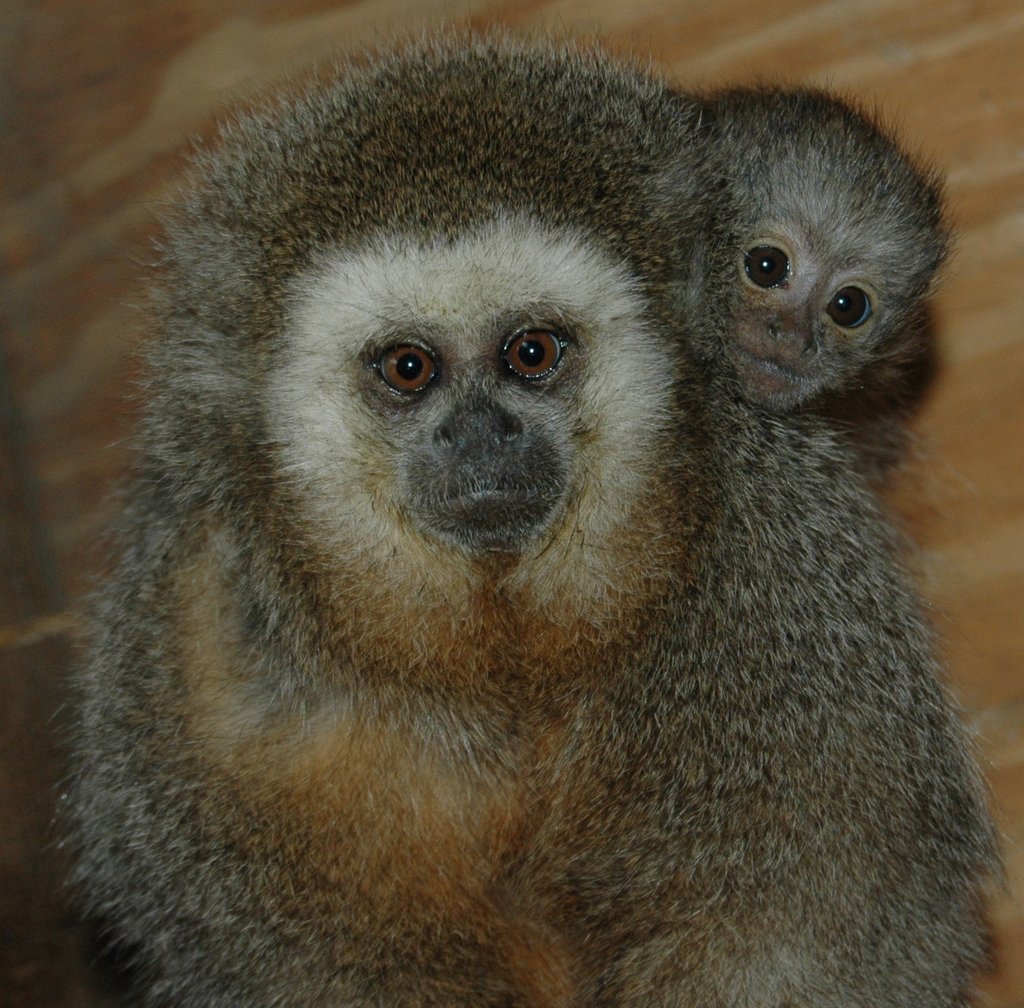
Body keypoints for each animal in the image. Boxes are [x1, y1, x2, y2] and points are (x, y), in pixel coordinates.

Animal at [66, 34, 997, 1007]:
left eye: (531, 352)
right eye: (409, 368)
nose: (482, 435)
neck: (505, 654)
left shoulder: (792, 573)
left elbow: (809, 935)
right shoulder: (188, 645)